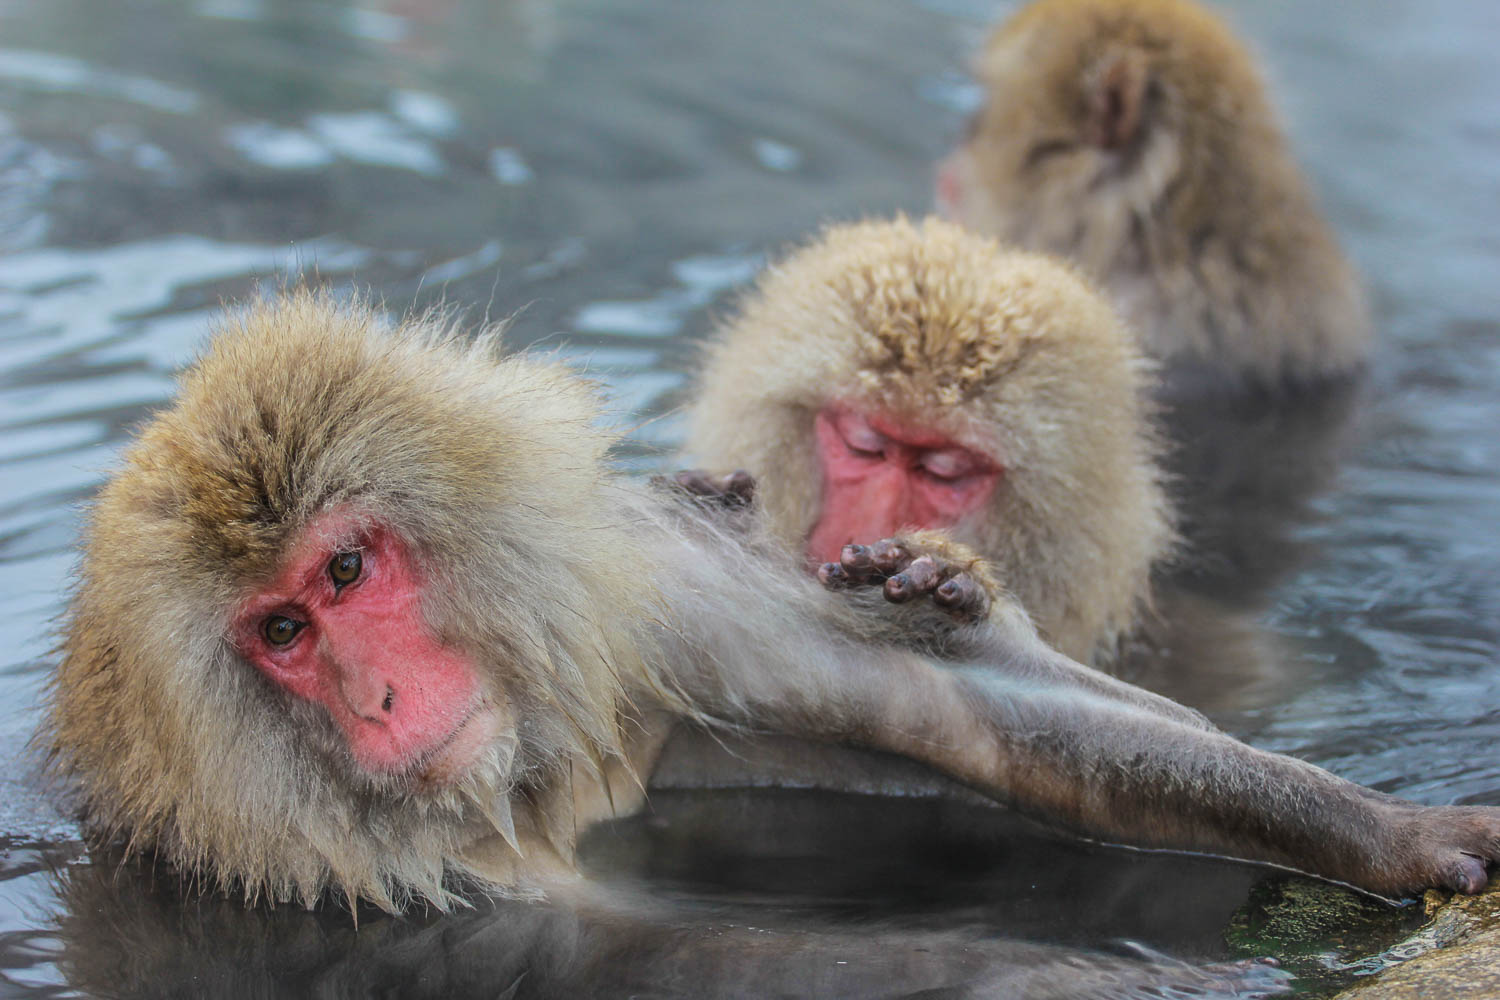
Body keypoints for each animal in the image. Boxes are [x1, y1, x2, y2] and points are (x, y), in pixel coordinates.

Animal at [41, 289, 1500, 916]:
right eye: (281, 632)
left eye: (347, 570)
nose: (380, 693)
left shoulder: (642, 606)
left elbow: (959, 716)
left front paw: (1391, 834)